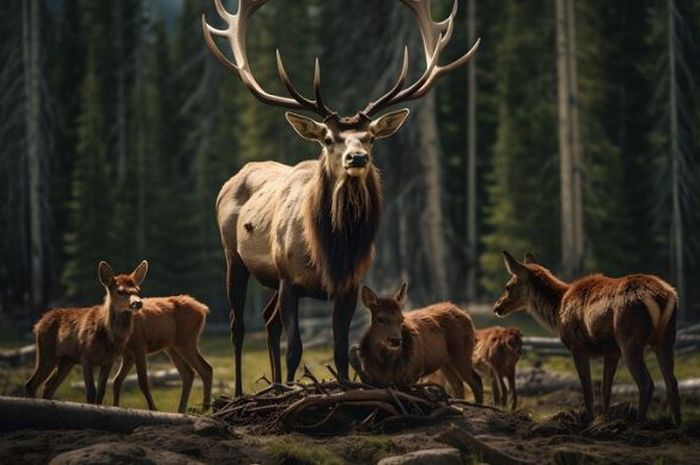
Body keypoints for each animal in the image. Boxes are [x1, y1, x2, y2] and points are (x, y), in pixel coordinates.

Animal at [25, 261, 148, 404]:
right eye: (120, 291)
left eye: (138, 291)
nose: (137, 303)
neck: (108, 335)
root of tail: (38, 324)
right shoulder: (86, 357)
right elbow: (91, 393)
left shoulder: (108, 361)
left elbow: (100, 393)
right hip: (46, 353)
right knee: (31, 384)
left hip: (66, 360)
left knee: (48, 385)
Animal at [350, 283, 483, 402]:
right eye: (380, 318)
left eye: (401, 319)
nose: (395, 340)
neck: (385, 365)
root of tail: (466, 314)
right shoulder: (374, 380)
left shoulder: (412, 375)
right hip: (445, 361)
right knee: (458, 383)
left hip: (462, 351)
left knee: (476, 380)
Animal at [494, 251, 681, 425]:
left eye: (508, 286)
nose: (497, 307)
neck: (557, 309)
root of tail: (663, 297)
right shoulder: (611, 350)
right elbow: (605, 389)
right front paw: (605, 419)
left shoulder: (577, 346)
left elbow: (587, 387)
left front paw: (589, 419)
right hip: (665, 338)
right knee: (672, 382)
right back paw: (676, 424)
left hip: (630, 339)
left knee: (646, 383)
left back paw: (639, 423)